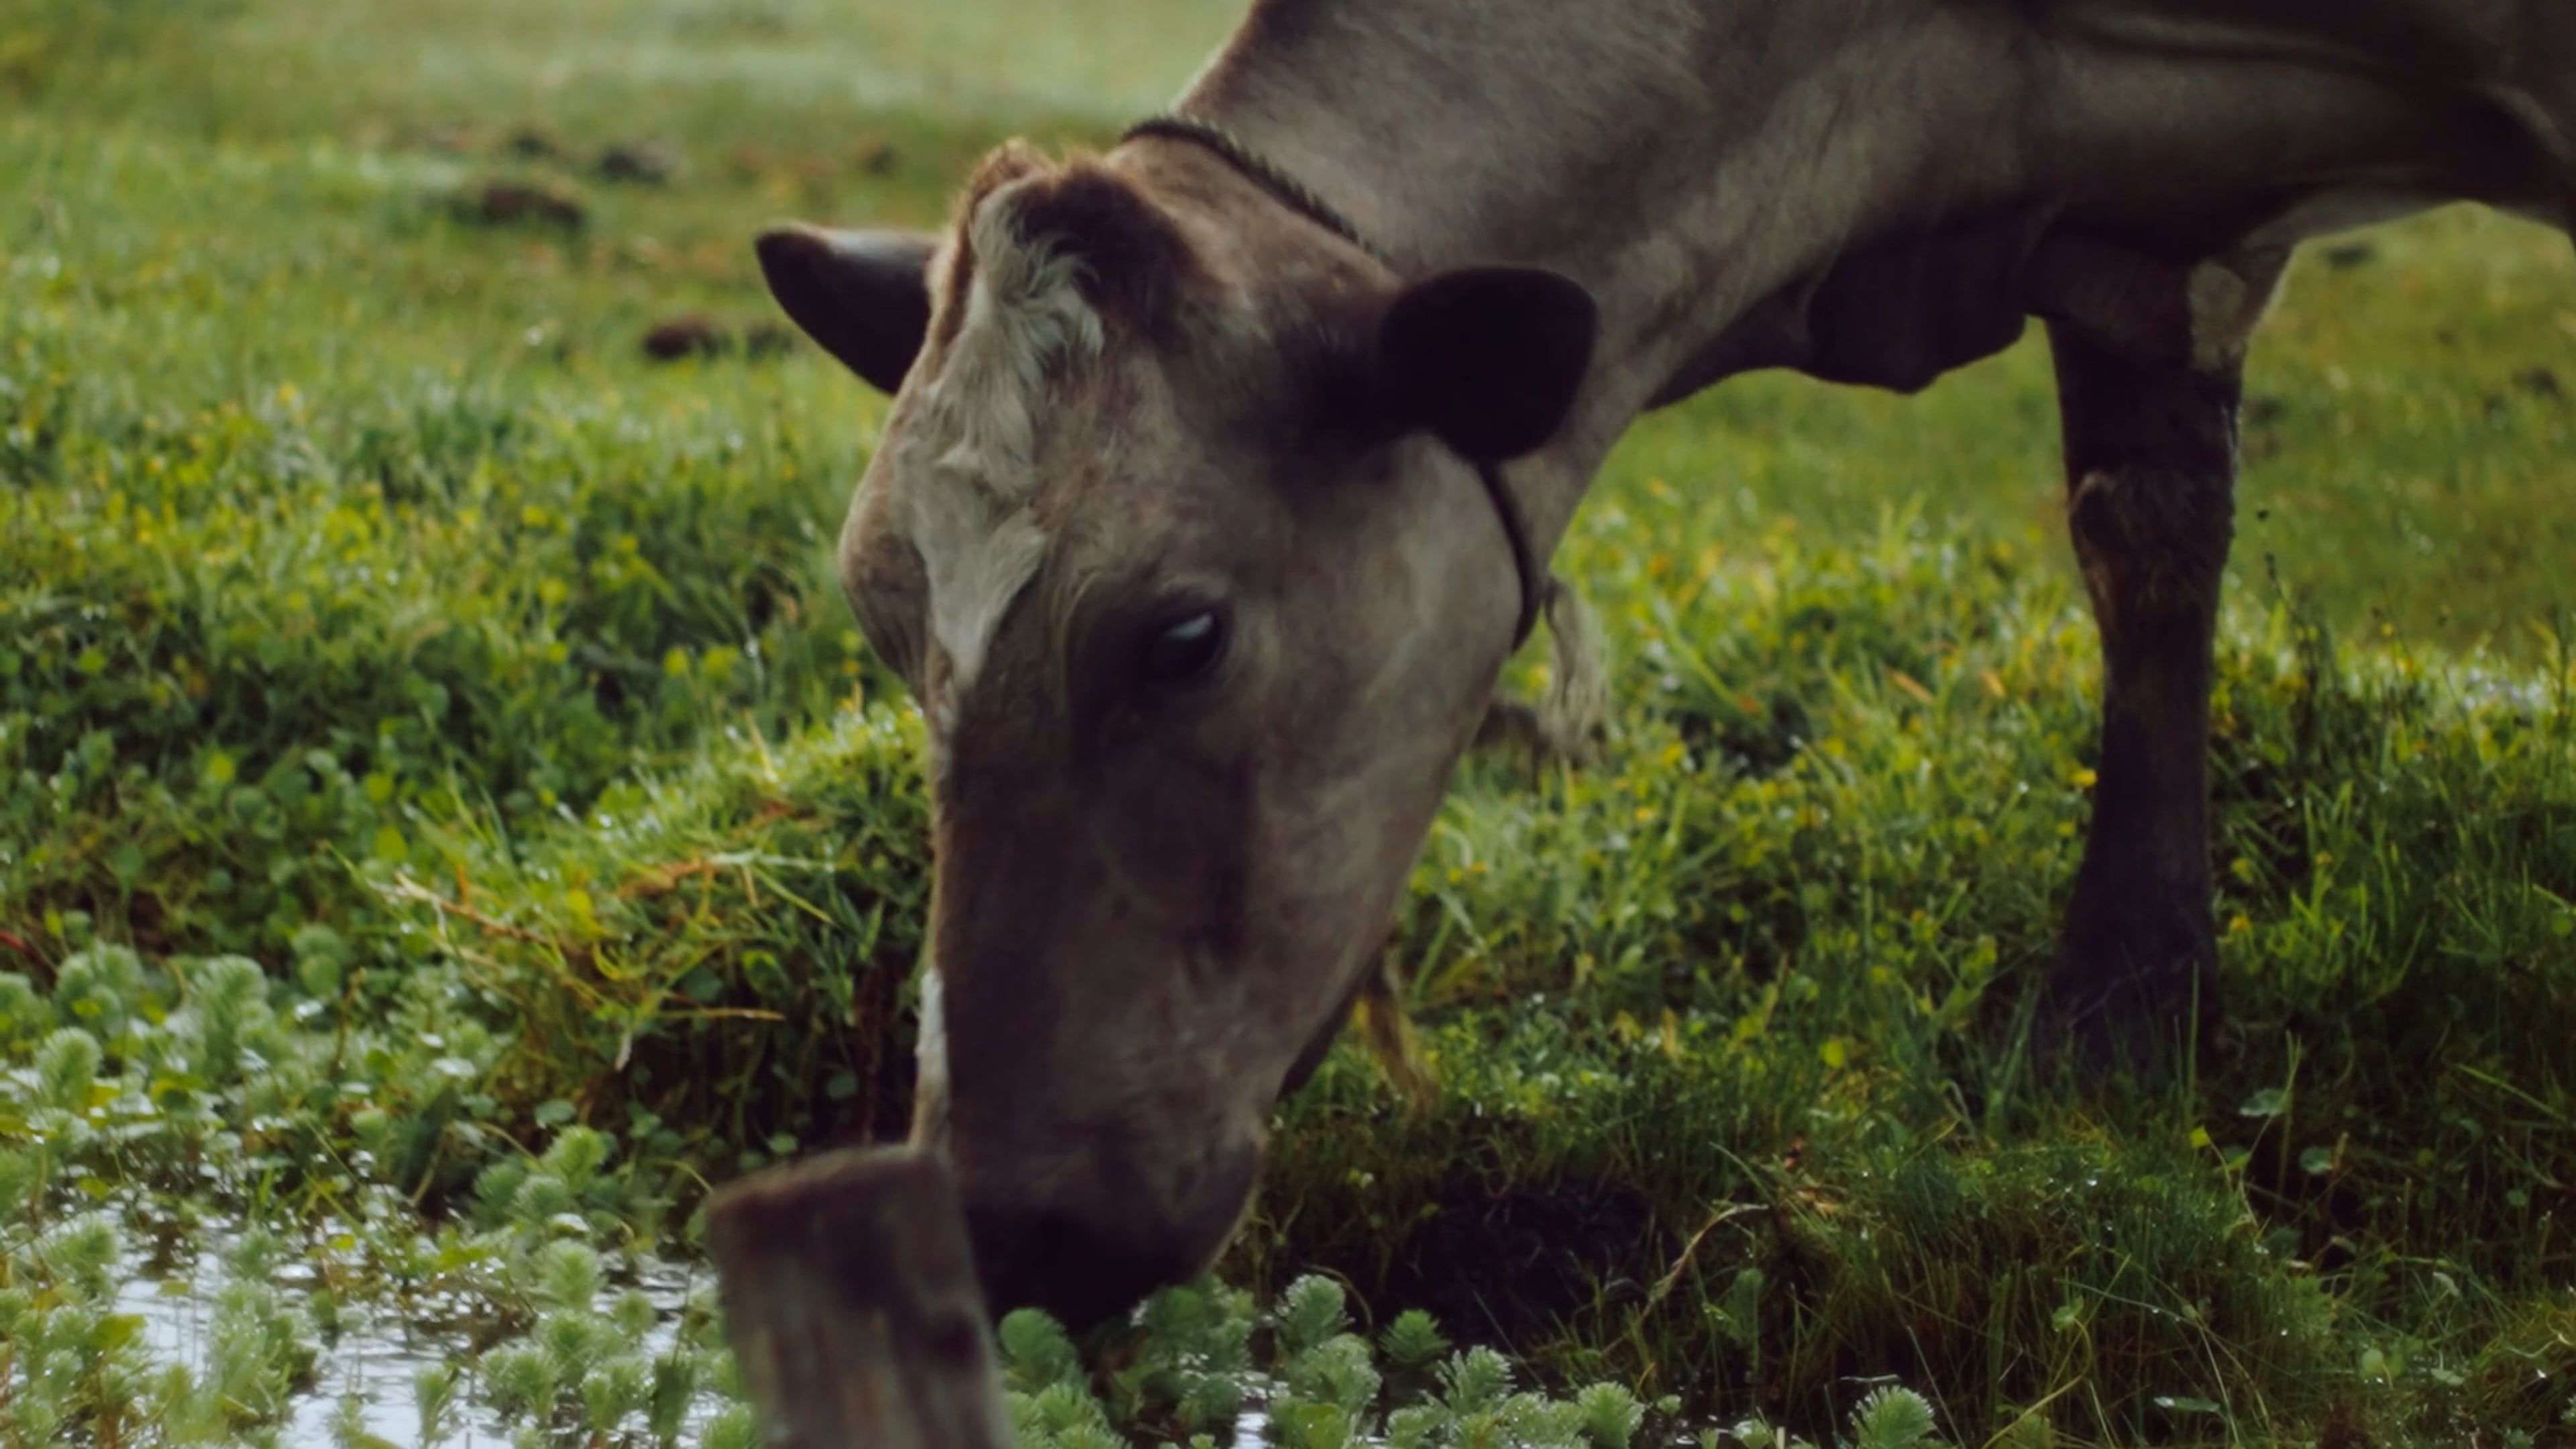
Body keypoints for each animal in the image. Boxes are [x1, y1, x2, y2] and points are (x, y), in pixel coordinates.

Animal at [751, 0, 2575, 1328]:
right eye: (881, 618)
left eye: (1184, 635)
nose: (998, 1224)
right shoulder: (2145, 250)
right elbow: (2149, 540)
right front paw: (2124, 1015)